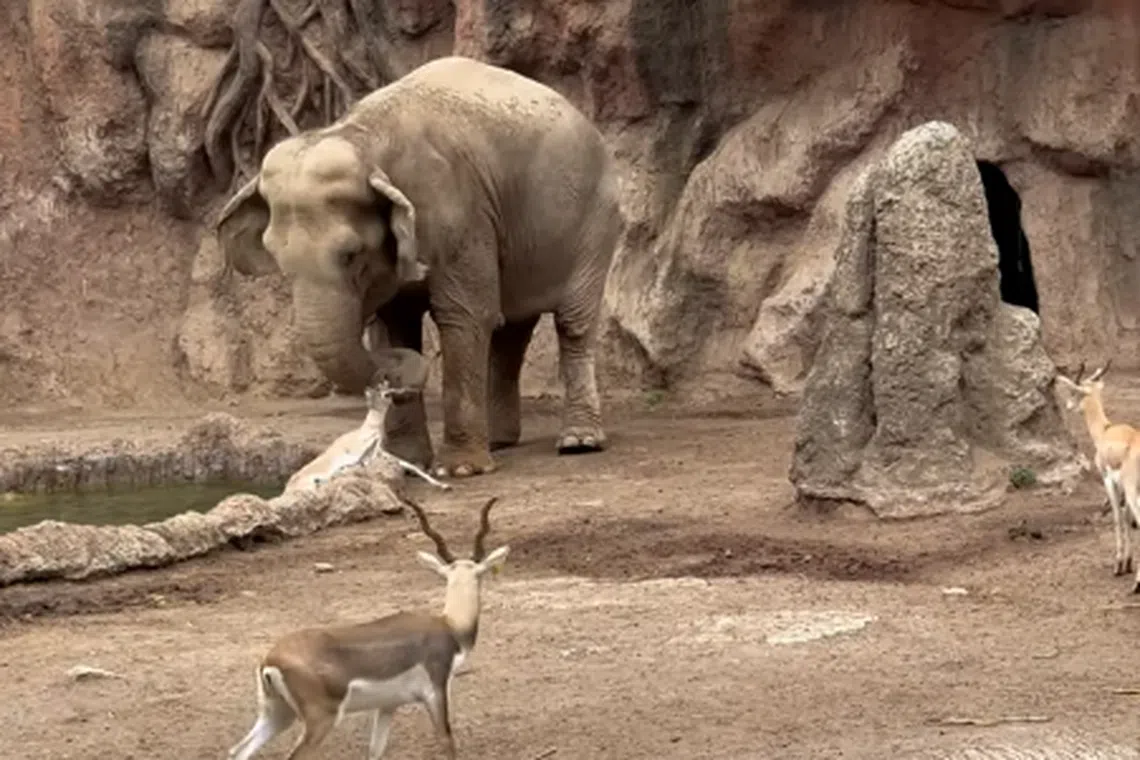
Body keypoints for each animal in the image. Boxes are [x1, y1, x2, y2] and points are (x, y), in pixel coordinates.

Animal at [215, 56, 623, 478]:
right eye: (277, 259)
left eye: (352, 254)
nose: (399, 382)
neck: (363, 138)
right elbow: (395, 324)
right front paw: (408, 463)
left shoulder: (460, 210)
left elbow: (464, 315)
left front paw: (460, 470)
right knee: (510, 330)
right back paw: (500, 442)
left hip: (595, 221)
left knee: (572, 322)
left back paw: (578, 442)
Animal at [227, 496, 510, 760]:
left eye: (477, 574)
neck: (450, 625)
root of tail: (270, 660)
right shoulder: (435, 691)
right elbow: (446, 740)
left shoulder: (388, 705)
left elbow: (375, 750)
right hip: (320, 720)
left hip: (278, 714)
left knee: (238, 751)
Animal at [1056, 359, 1140, 589]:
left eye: (1075, 392)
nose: (1068, 405)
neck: (1105, 431)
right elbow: (1127, 519)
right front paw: (1128, 563)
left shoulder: (1109, 481)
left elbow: (1118, 518)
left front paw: (1118, 565)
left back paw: (1137, 584)